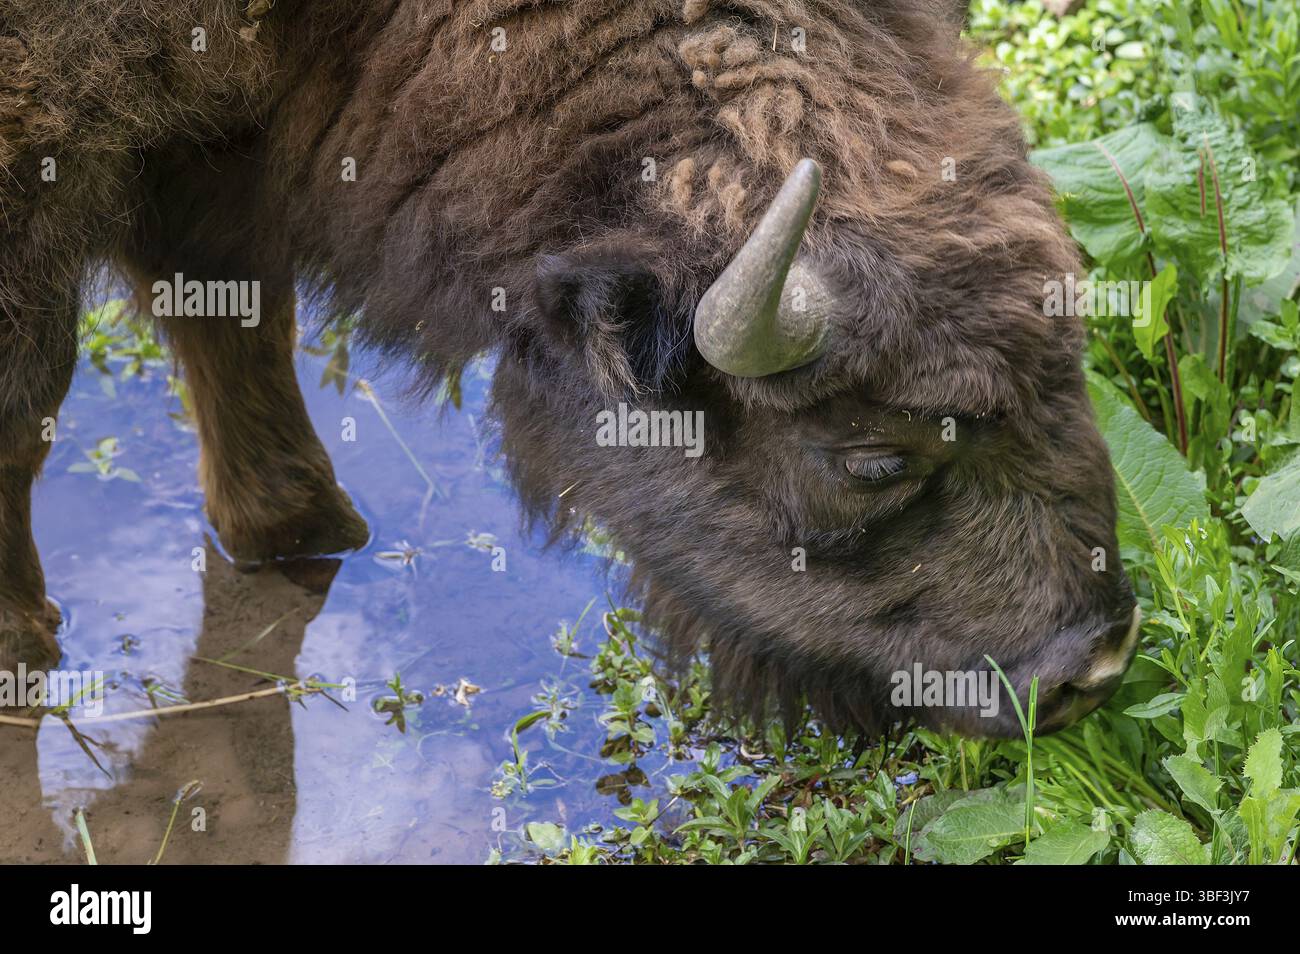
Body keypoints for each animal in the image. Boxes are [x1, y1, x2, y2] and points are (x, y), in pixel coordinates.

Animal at [0, 0, 1138, 738]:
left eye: (1070, 365)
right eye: (870, 459)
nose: (1093, 663)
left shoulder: (213, 138)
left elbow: (228, 306)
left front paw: (298, 532)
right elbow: (31, 392)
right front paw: (20, 651)